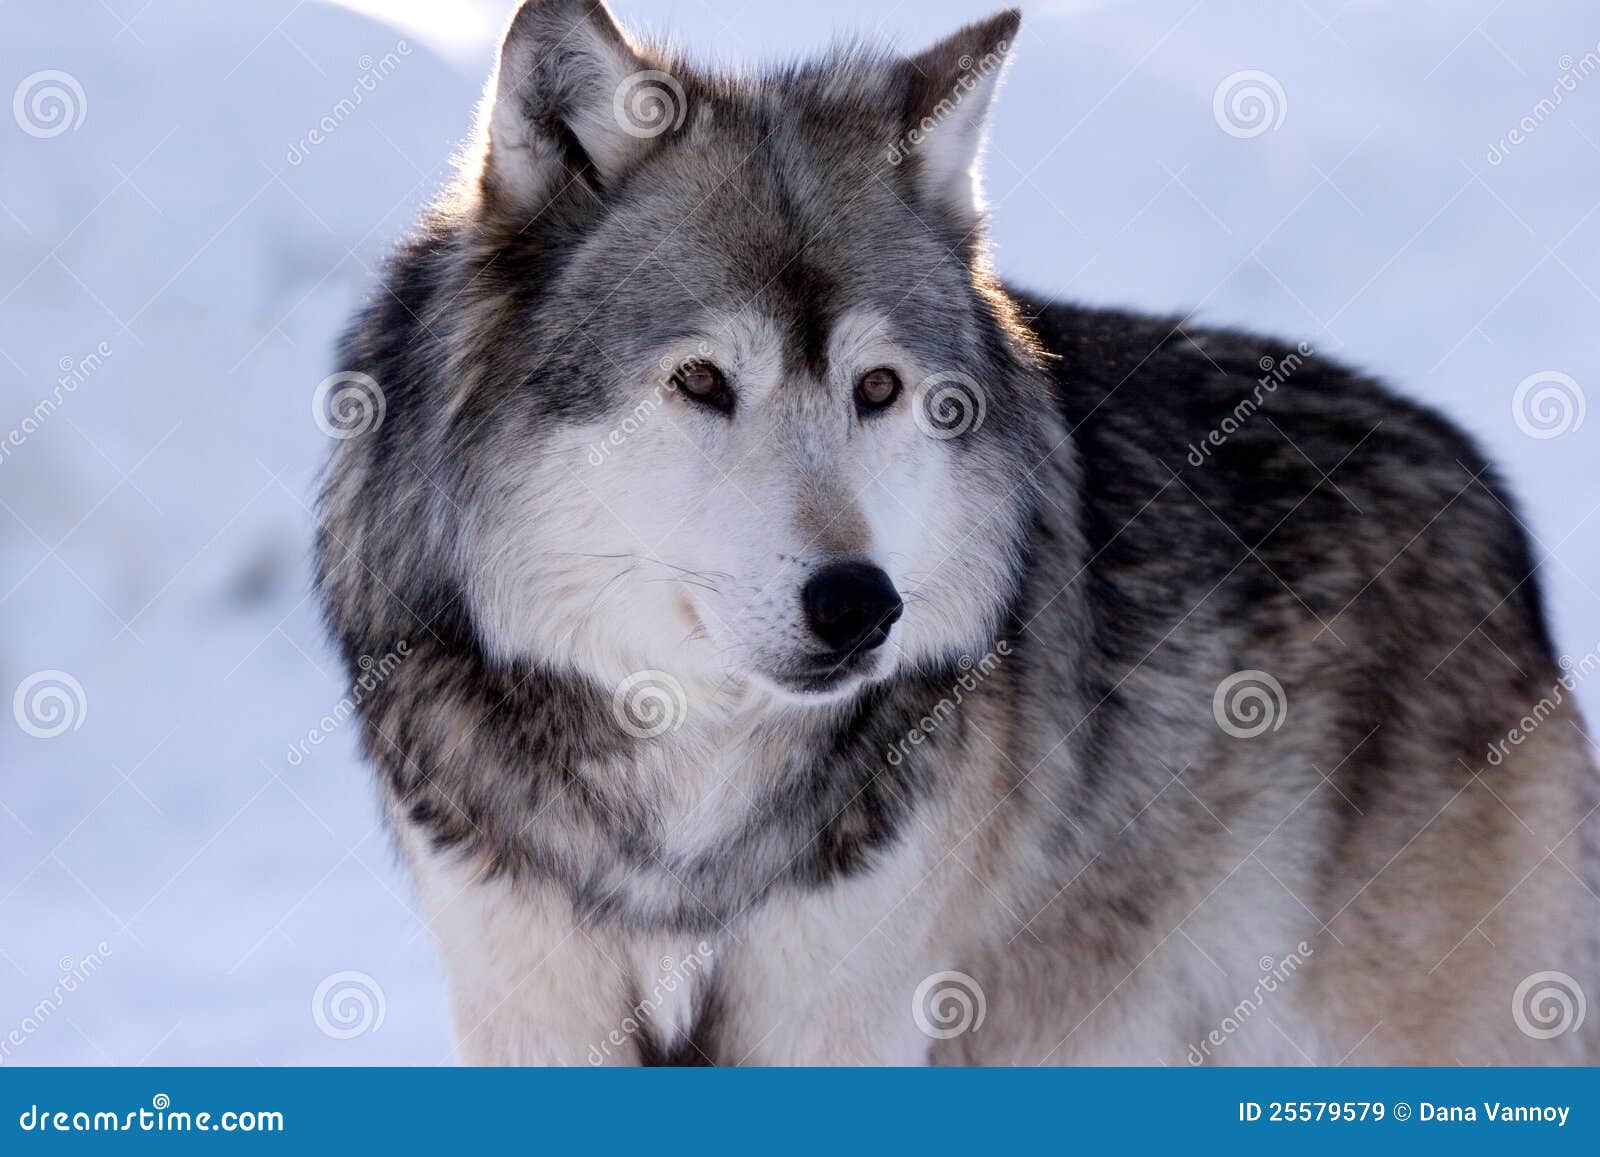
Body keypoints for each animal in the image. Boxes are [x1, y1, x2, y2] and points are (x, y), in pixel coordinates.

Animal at [316, 0, 1598, 1064]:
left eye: (878, 389)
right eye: (700, 380)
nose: (858, 603)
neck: (686, 814)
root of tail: (1483, 490)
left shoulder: (842, 1022)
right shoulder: (528, 1006)